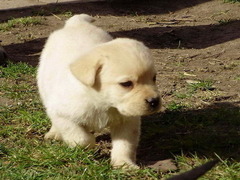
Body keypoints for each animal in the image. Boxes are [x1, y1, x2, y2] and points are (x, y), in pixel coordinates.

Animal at [37, 14, 161, 169]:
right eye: (126, 84)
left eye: (154, 78)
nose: (154, 101)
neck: (104, 103)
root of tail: (76, 23)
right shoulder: (62, 114)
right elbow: (81, 137)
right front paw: (88, 143)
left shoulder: (127, 122)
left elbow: (125, 145)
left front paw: (124, 164)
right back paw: (54, 133)